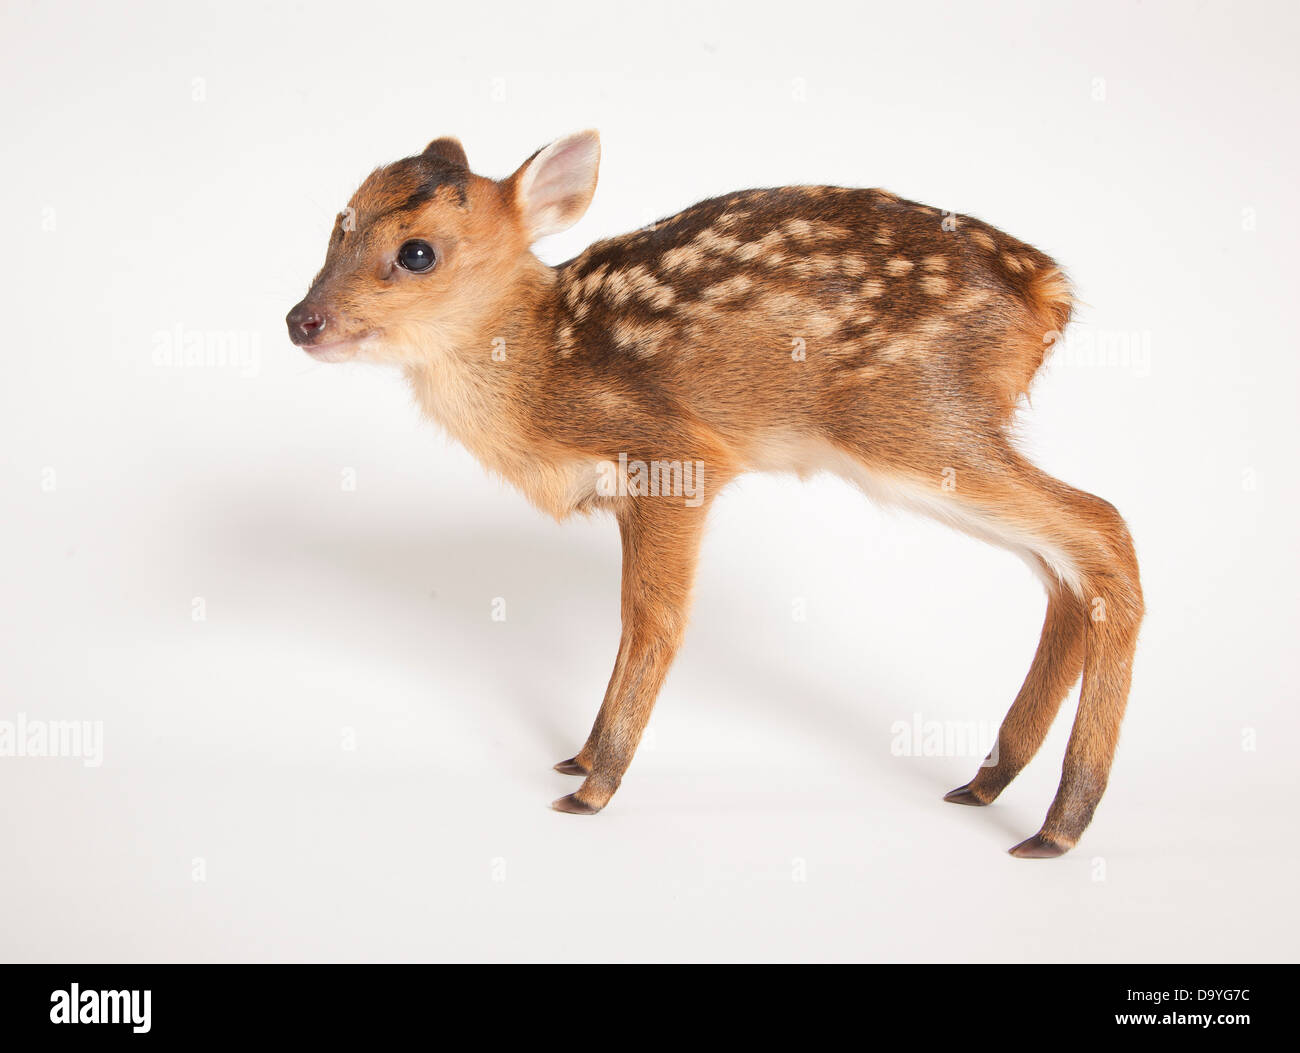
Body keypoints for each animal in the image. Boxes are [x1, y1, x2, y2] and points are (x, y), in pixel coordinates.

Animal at [286, 131, 1144, 858]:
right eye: (337, 226)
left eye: (417, 252)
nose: (302, 320)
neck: (541, 375)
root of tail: (1052, 295)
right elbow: (634, 615)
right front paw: (579, 756)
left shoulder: (679, 453)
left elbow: (652, 616)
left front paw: (595, 784)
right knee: (1064, 569)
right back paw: (991, 780)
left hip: (917, 417)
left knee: (1102, 526)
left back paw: (1060, 822)